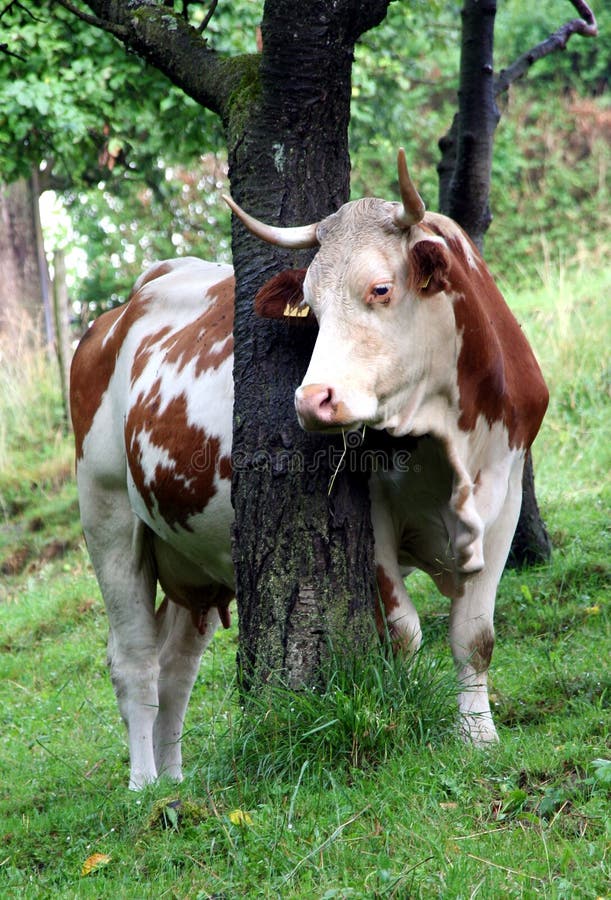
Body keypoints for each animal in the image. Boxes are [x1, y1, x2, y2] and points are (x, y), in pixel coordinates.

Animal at [70, 150, 548, 789]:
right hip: (107, 516)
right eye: (312, 310)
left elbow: (475, 636)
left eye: (381, 287)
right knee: (134, 662)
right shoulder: (372, 516)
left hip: (190, 556)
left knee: (176, 667)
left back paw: (173, 780)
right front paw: (405, 722)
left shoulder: (504, 494)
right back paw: (146, 786)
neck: (449, 440)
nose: (311, 398)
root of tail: (120, 313)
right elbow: (403, 630)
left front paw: (478, 739)